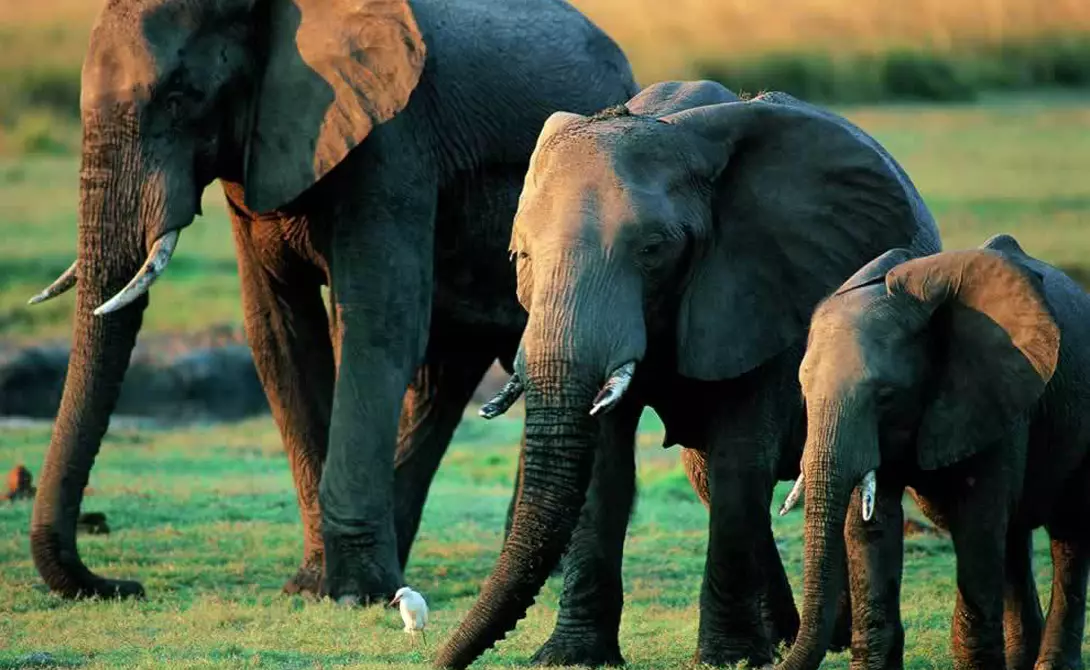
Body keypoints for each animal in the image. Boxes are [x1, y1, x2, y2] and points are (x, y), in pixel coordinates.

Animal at [23, 0, 636, 610]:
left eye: (180, 97)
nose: (125, 585)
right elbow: (279, 334)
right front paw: (314, 586)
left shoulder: (393, 144)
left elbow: (376, 323)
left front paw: (353, 594)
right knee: (439, 381)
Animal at [429, 80, 941, 670]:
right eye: (521, 255)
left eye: (652, 250)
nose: (434, 659)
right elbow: (604, 462)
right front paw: (571, 657)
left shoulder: (766, 286)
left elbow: (741, 455)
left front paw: (726, 659)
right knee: (710, 480)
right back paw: (787, 637)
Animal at [776, 234, 1090, 670]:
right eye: (804, 390)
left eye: (885, 396)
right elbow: (872, 526)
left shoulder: (993, 395)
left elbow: (977, 522)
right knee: (1012, 538)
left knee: (1067, 534)